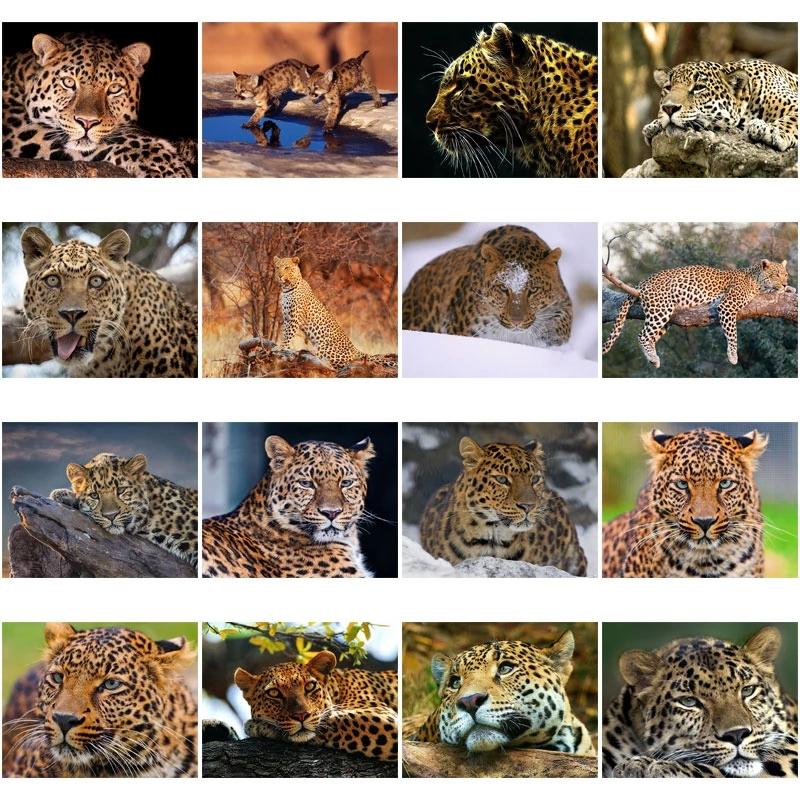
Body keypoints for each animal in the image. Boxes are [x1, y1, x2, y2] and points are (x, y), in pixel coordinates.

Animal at [235, 650, 398, 761]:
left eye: (310, 686)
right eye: (274, 693)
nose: (301, 716)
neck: (340, 687)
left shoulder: (381, 715)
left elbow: (331, 721)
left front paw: (257, 726)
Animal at [403, 225, 573, 348]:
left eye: (533, 290)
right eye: (503, 288)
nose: (516, 321)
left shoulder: (563, 299)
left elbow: (563, 321)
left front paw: (549, 334)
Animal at [602, 259, 792, 368]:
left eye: (785, 275)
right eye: (776, 274)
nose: (784, 283)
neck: (756, 280)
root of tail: (643, 282)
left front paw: (789, 289)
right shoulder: (727, 306)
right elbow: (733, 334)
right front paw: (732, 356)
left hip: (667, 316)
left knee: (649, 336)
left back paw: (653, 358)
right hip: (661, 309)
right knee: (642, 335)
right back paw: (654, 358)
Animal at [642, 59, 799, 153]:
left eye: (698, 88)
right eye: (668, 87)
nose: (669, 108)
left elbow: (790, 120)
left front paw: (771, 131)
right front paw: (654, 125)